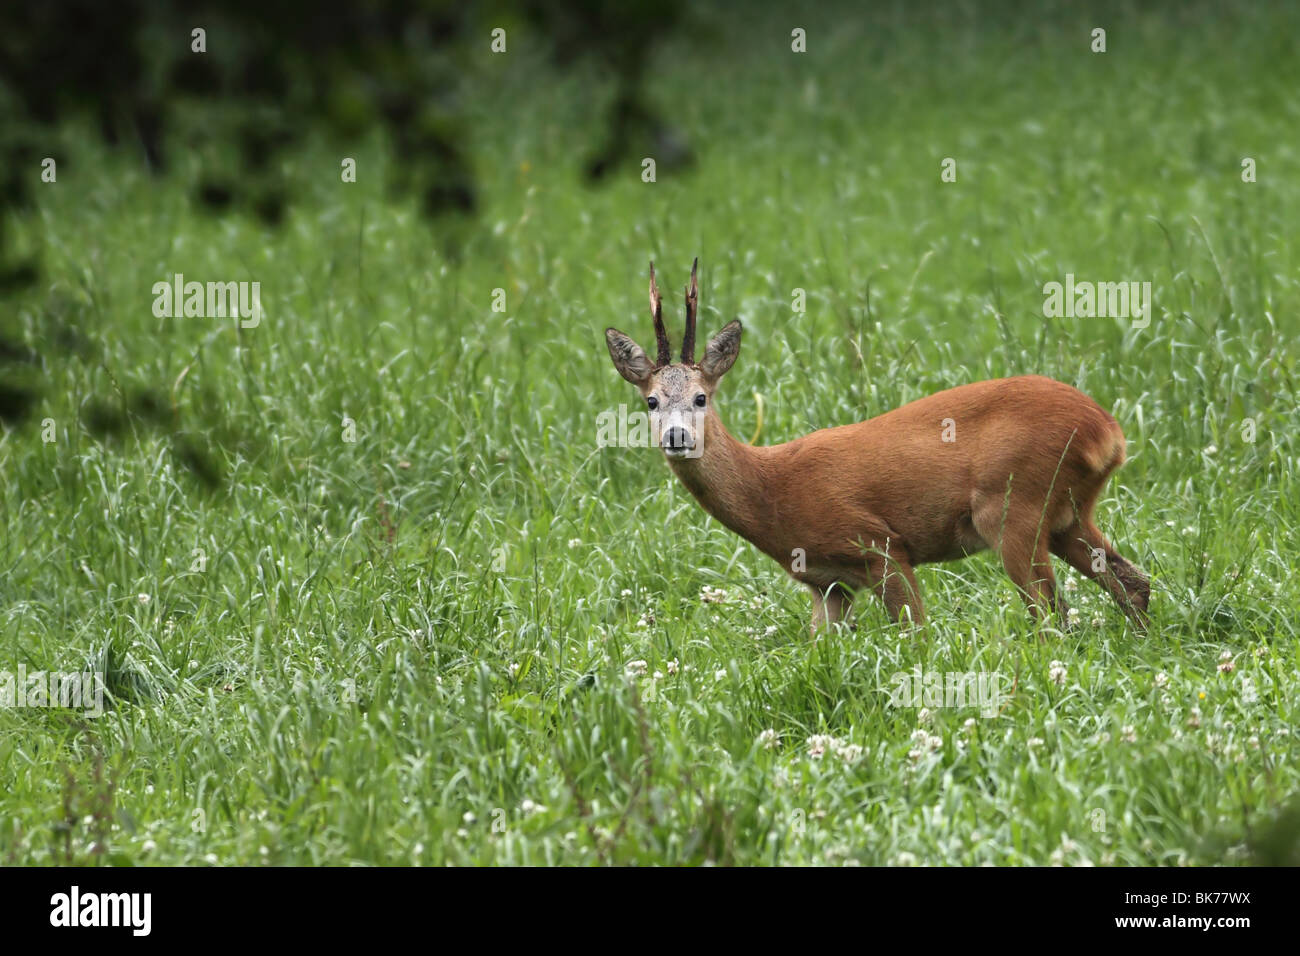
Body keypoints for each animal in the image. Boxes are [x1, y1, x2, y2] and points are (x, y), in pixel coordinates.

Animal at [605, 259, 1151, 634]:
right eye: (651, 400)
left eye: (701, 396)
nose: (677, 436)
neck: (772, 491)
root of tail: (1107, 432)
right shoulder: (827, 583)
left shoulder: (879, 545)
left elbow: (919, 634)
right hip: (1067, 515)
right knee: (1134, 583)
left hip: (1013, 505)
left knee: (1054, 616)